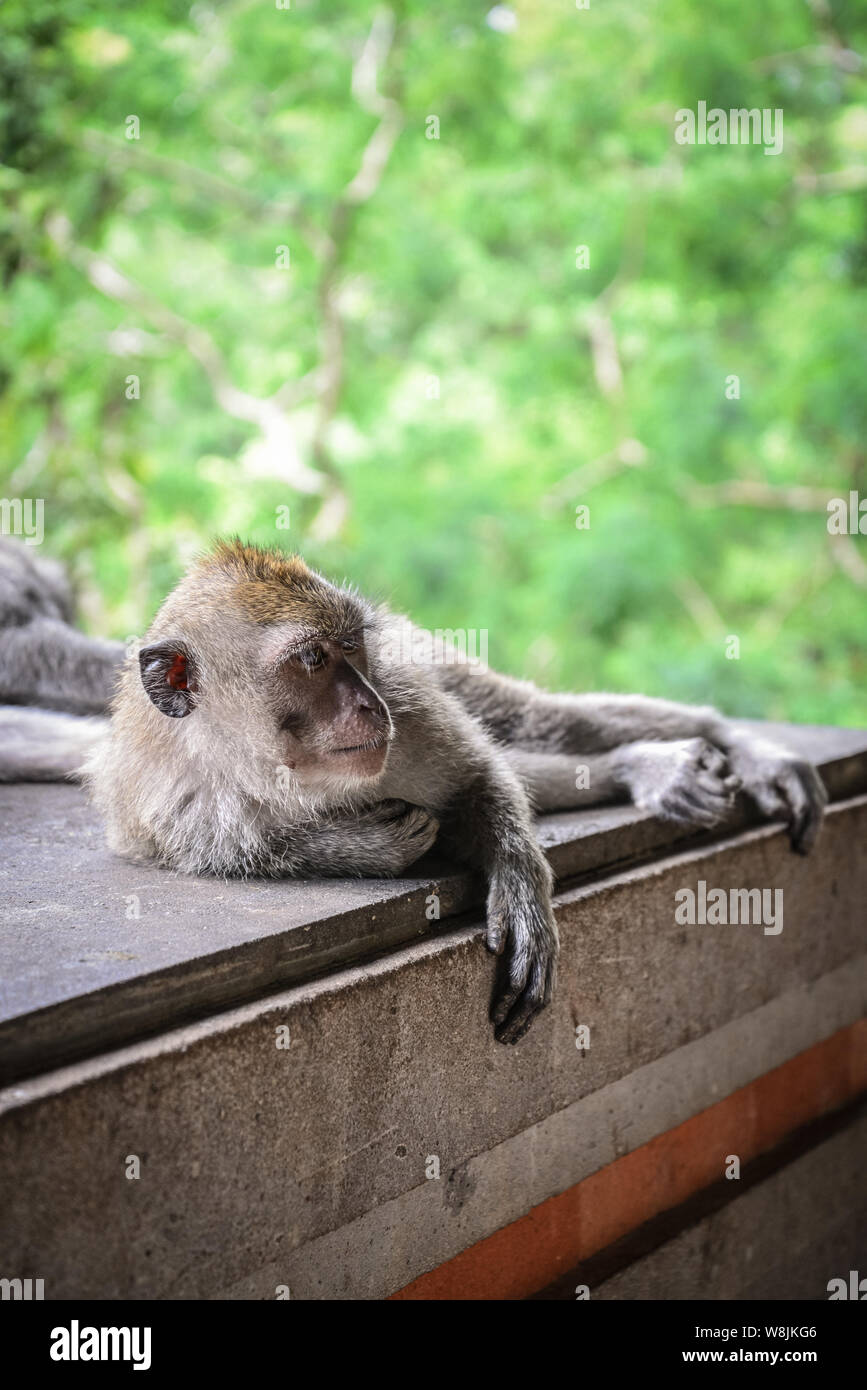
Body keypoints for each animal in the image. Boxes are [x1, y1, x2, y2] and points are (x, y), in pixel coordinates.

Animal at [0, 539, 827, 1043]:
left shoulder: (412, 704)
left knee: (539, 722)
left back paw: (729, 743)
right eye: (312, 659)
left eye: (352, 649)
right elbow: (261, 849)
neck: (258, 764)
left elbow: (480, 779)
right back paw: (641, 765)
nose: (371, 705)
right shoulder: (178, 817)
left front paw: (520, 892)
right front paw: (365, 843)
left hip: (426, 662)